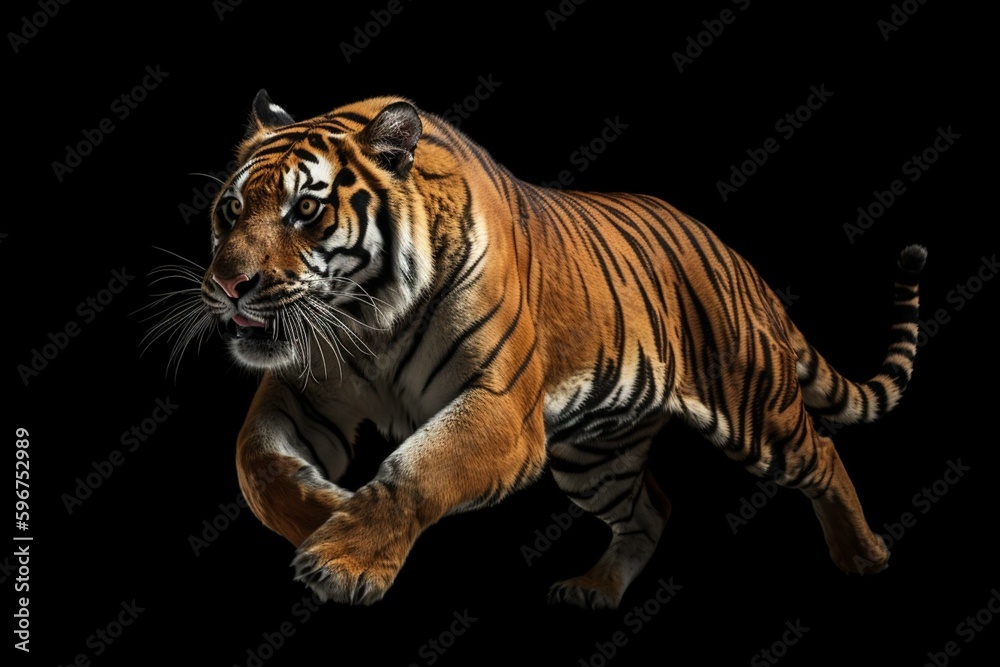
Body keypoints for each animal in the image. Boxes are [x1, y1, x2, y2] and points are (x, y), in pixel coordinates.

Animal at [167, 89, 926, 609]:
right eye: (231, 210)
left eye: (306, 209)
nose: (229, 286)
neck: (367, 319)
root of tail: (736, 259)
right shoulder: (304, 392)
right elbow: (257, 464)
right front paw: (325, 512)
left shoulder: (500, 408)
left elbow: (417, 468)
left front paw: (343, 559)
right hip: (595, 456)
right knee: (652, 509)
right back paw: (597, 587)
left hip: (753, 408)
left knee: (822, 453)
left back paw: (864, 554)